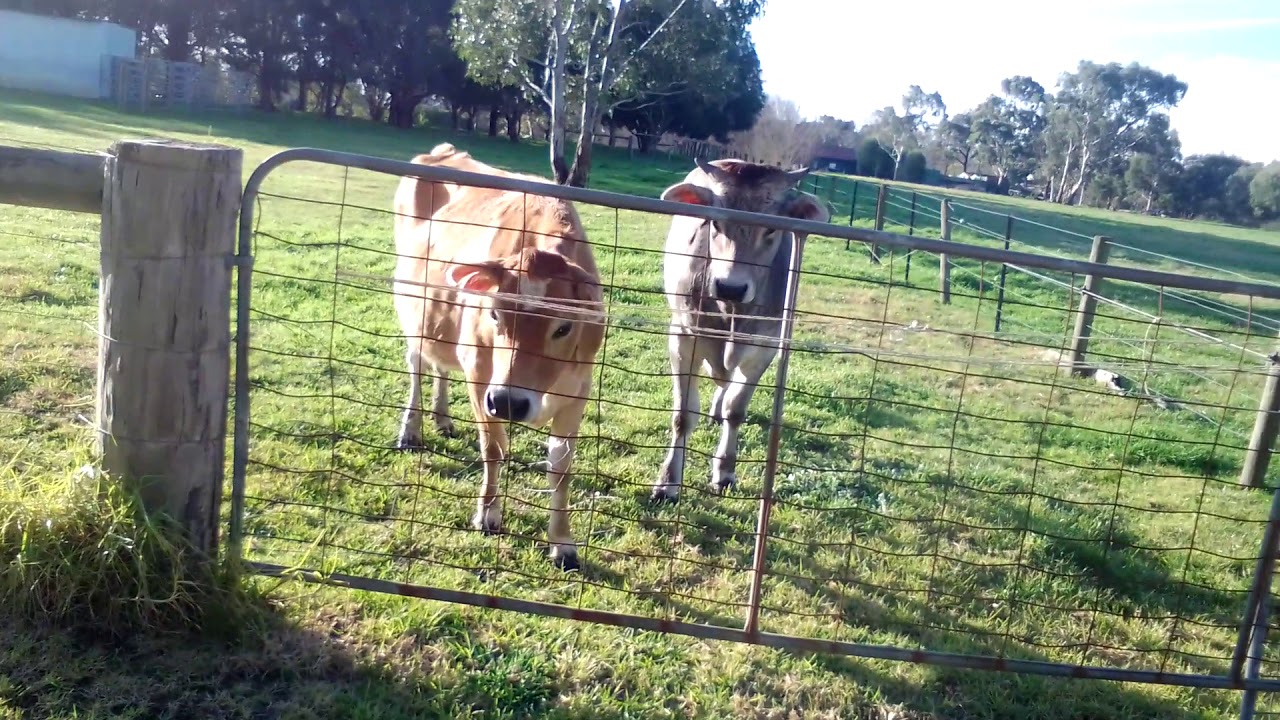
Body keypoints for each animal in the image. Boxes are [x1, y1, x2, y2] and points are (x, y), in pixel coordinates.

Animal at [392, 143, 605, 571]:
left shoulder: (578, 389)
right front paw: (488, 514)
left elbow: (561, 467)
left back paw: (442, 419)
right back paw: (412, 428)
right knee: (418, 368)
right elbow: (493, 447)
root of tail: (443, 153)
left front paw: (563, 543)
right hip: (413, 313)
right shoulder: (479, 374)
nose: (508, 401)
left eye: (563, 327)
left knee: (440, 367)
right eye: (494, 314)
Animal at [651, 158, 830, 503]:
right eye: (716, 225)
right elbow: (683, 414)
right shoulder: (682, 337)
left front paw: (724, 471)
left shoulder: (764, 346)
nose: (730, 286)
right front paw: (668, 481)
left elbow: (736, 409)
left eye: (771, 228)